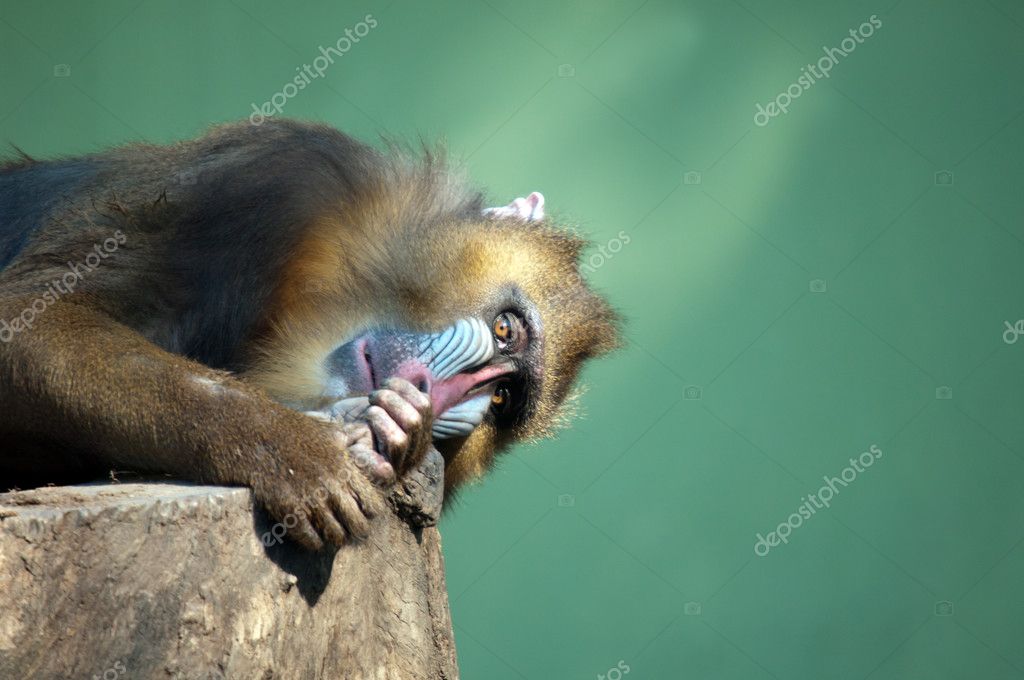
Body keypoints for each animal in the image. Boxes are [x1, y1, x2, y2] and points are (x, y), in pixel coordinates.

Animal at [0, 119, 619, 550]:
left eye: (500, 398)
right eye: (504, 328)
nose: (434, 394)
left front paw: (401, 431)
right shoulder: (264, 182)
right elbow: (27, 318)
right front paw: (296, 453)